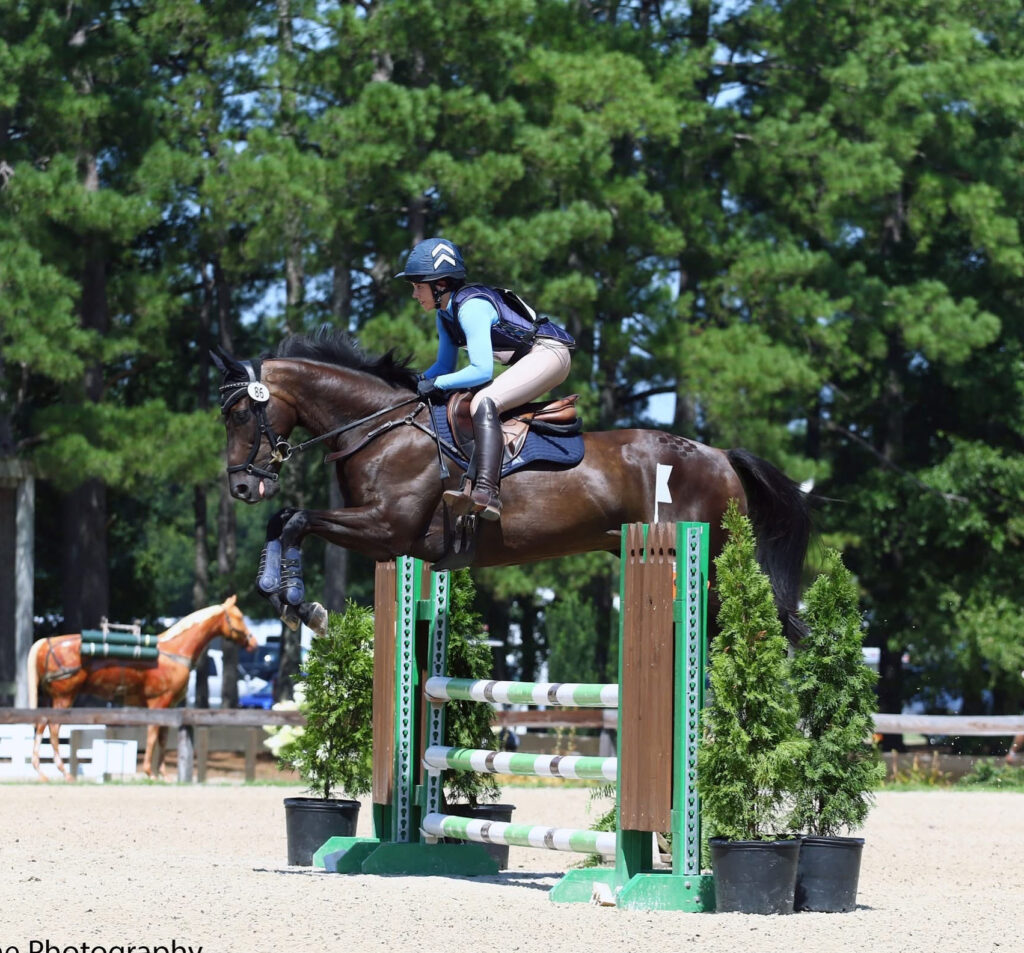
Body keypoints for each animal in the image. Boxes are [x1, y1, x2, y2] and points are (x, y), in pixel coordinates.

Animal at [26, 595, 256, 780]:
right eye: (239, 616)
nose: (253, 641)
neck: (174, 652)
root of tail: (46, 642)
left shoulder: (170, 707)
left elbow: (163, 737)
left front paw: (162, 774)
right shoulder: (158, 702)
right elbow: (153, 734)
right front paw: (149, 772)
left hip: (51, 698)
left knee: (41, 725)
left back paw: (41, 770)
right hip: (64, 698)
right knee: (53, 729)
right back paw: (64, 772)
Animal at [212, 329, 812, 641]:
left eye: (240, 415)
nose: (241, 488)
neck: (382, 427)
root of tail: (720, 455)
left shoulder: (388, 530)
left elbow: (297, 518)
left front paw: (298, 601)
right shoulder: (386, 537)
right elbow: (283, 520)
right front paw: (281, 594)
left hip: (709, 560)